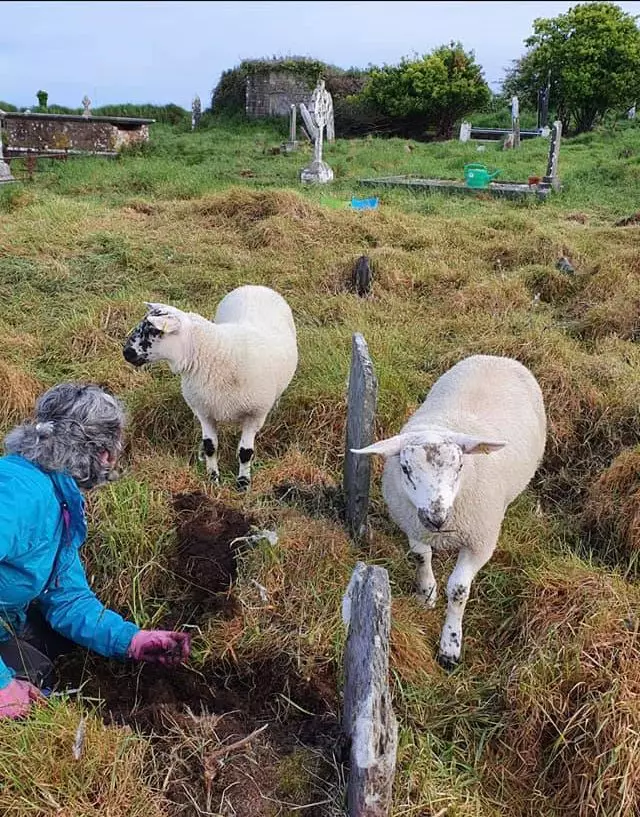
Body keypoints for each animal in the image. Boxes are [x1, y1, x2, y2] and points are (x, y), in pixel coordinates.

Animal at [124, 284, 298, 488]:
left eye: (154, 331)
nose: (126, 353)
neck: (216, 352)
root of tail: (254, 286)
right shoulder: (204, 411)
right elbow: (210, 446)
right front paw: (213, 478)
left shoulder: (254, 414)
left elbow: (245, 452)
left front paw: (243, 483)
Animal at [352, 354, 548, 668]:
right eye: (405, 468)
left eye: (460, 467)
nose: (436, 518)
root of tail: (496, 357)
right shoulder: (414, 525)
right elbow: (421, 557)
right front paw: (426, 594)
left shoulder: (480, 542)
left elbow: (458, 590)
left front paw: (450, 645)